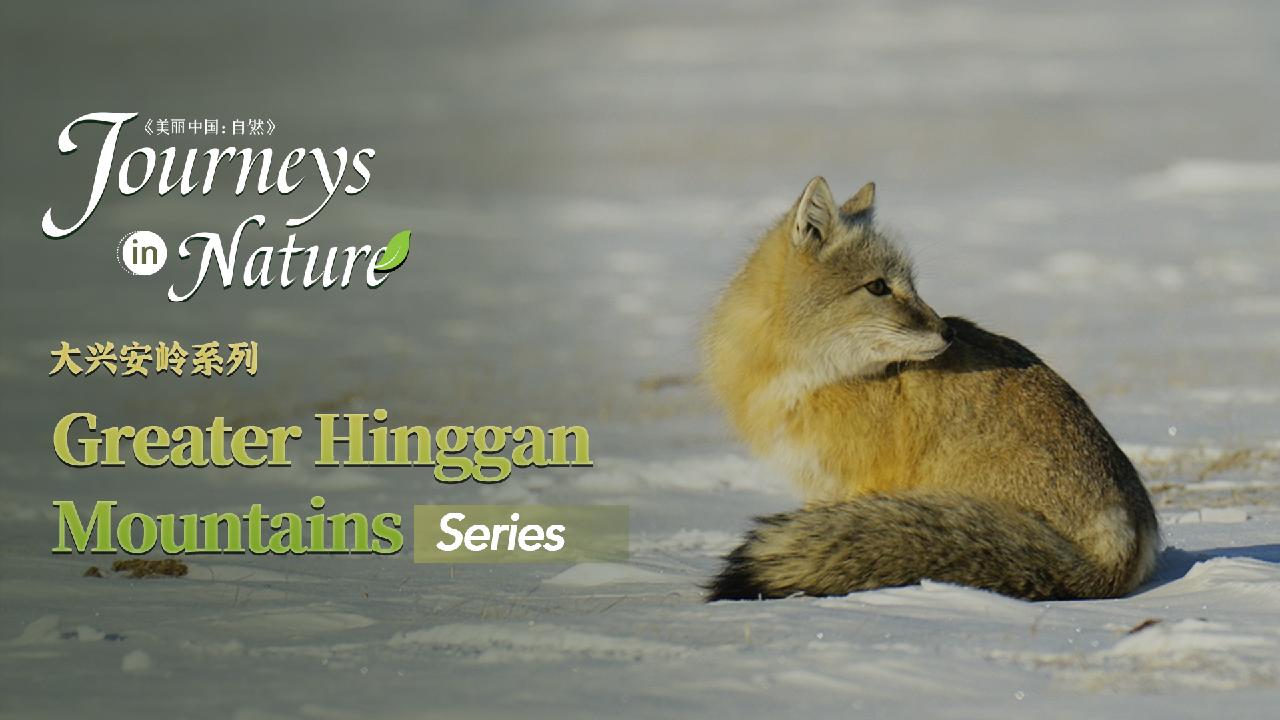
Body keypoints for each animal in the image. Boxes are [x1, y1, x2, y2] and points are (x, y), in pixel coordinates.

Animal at [702, 177, 1159, 602]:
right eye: (878, 286)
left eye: (912, 285)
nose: (948, 333)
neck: (808, 381)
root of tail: (1129, 543)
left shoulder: (854, 486)